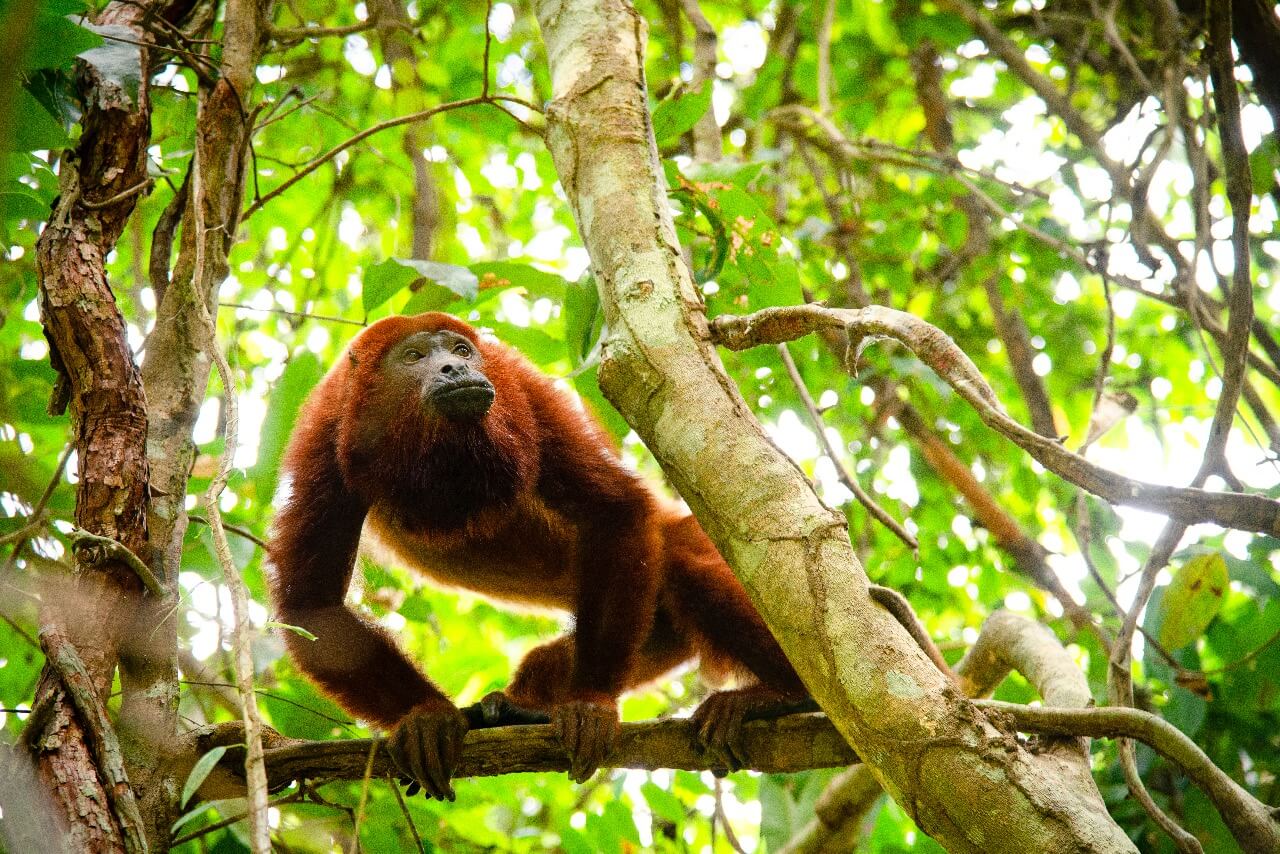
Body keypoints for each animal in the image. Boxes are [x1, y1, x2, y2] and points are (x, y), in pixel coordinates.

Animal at [269, 311, 951, 800]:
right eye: (413, 357)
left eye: (459, 350)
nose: (452, 371)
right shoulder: (326, 432)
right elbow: (313, 609)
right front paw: (425, 717)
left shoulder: (520, 389)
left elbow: (614, 509)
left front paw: (592, 705)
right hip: (651, 637)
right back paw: (514, 708)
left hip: (680, 550)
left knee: (686, 568)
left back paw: (784, 697)